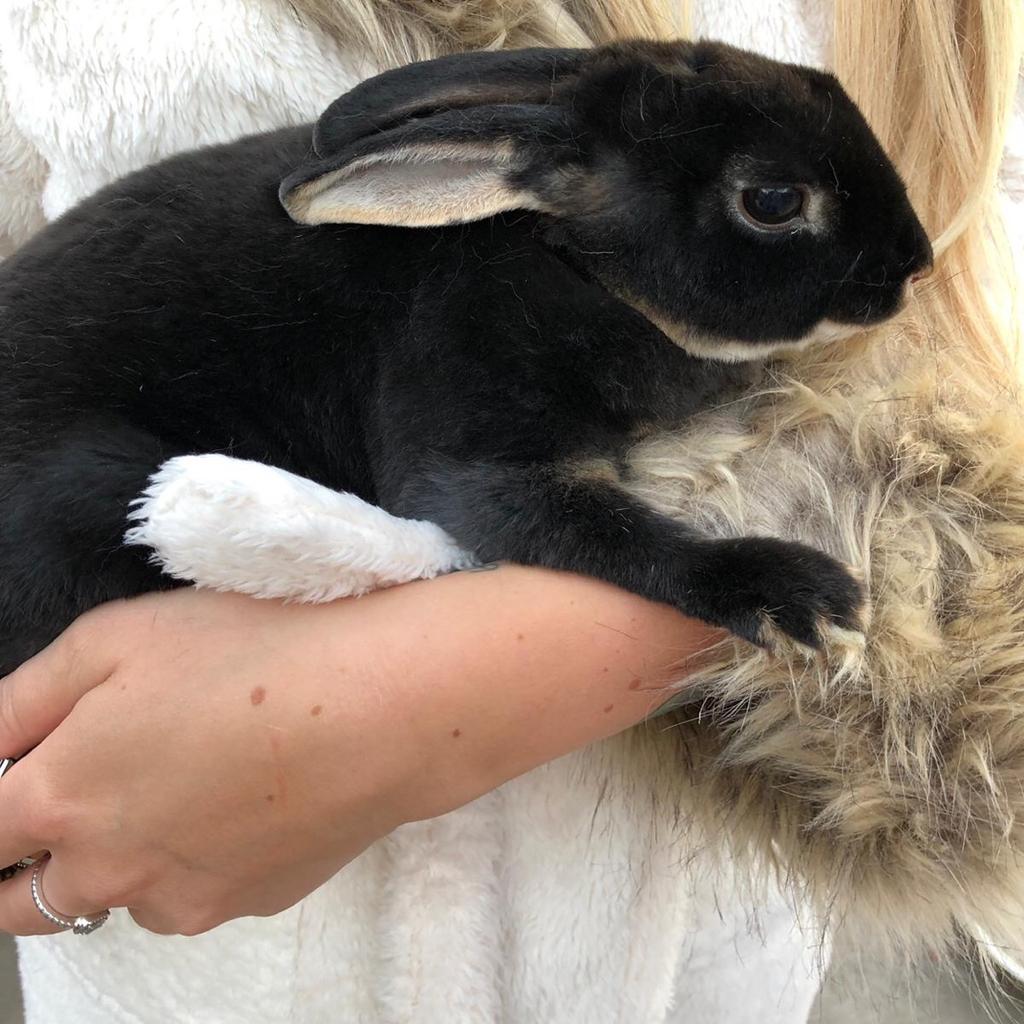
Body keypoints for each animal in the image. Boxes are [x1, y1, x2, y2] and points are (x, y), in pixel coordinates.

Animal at [0, 39, 933, 676]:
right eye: (772, 200)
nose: (916, 262)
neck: (581, 267)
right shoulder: (471, 444)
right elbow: (611, 535)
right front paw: (805, 601)